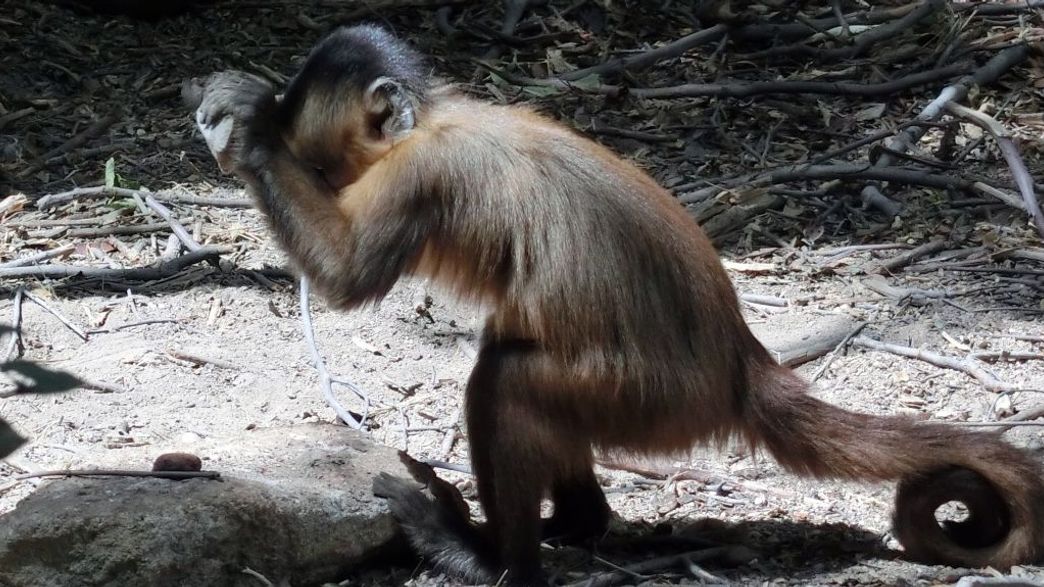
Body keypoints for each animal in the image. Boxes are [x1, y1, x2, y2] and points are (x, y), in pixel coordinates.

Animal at [186, 25, 1044, 586]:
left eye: (311, 144)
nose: (315, 166)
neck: (431, 120)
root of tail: (743, 365)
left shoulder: (421, 171)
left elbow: (347, 279)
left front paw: (248, 127)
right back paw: (574, 524)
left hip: (651, 403)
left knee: (507, 377)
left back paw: (496, 560)